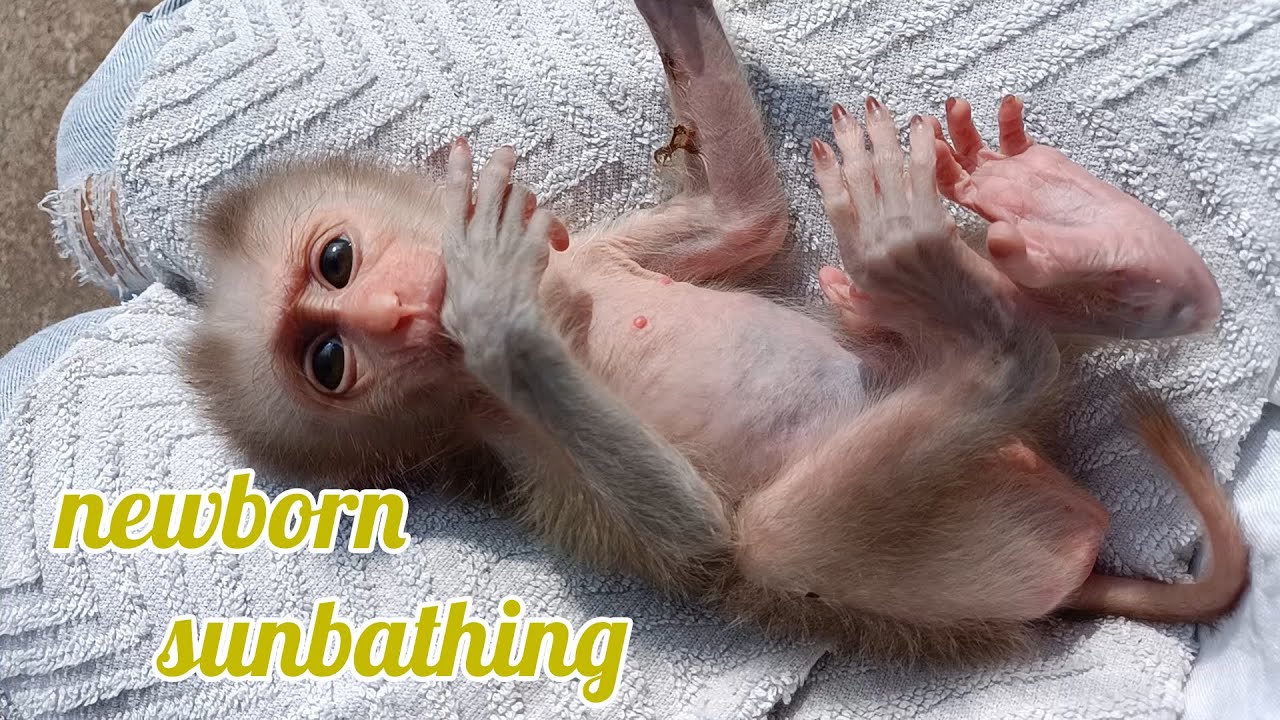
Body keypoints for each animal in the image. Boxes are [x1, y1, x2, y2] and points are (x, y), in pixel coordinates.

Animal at [183, 0, 1247, 665]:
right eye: (331, 361)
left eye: (336, 262)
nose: (395, 315)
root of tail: (1081, 553)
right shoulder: (506, 437)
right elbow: (699, 539)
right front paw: (491, 314)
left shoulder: (584, 249)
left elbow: (747, 219)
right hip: (934, 563)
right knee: (771, 540)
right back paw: (979, 326)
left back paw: (1101, 241)